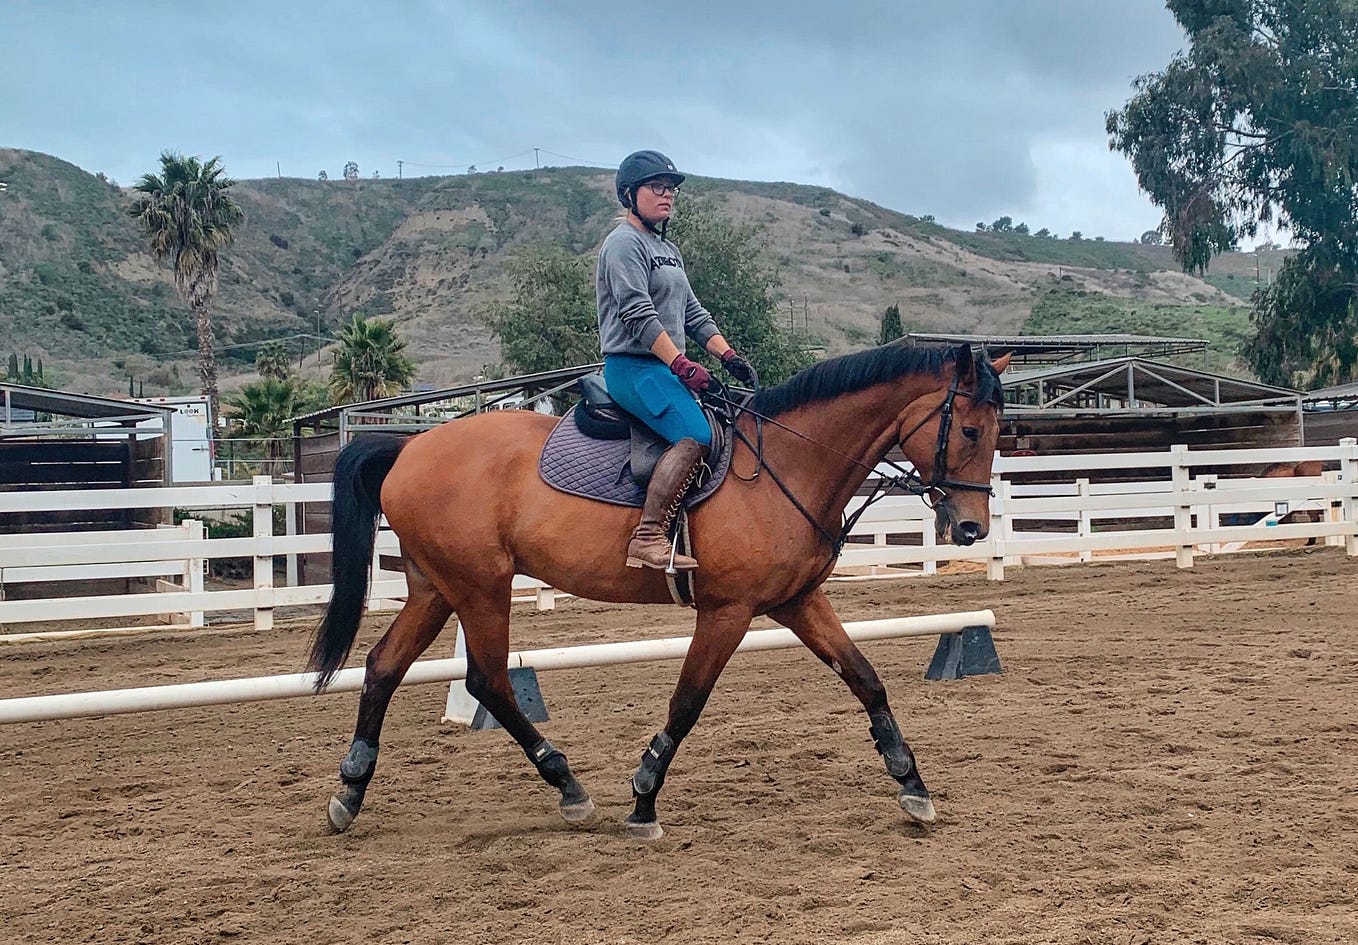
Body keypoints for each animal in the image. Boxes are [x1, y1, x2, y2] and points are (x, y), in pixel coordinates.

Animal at [307, 342, 1011, 839]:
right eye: (971, 431)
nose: (971, 528)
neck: (787, 465)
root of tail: (408, 449)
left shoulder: (799, 602)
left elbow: (867, 680)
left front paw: (912, 784)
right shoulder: (727, 613)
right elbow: (687, 702)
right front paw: (644, 799)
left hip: (437, 589)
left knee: (384, 666)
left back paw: (349, 793)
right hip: (480, 589)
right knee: (488, 681)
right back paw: (570, 789)